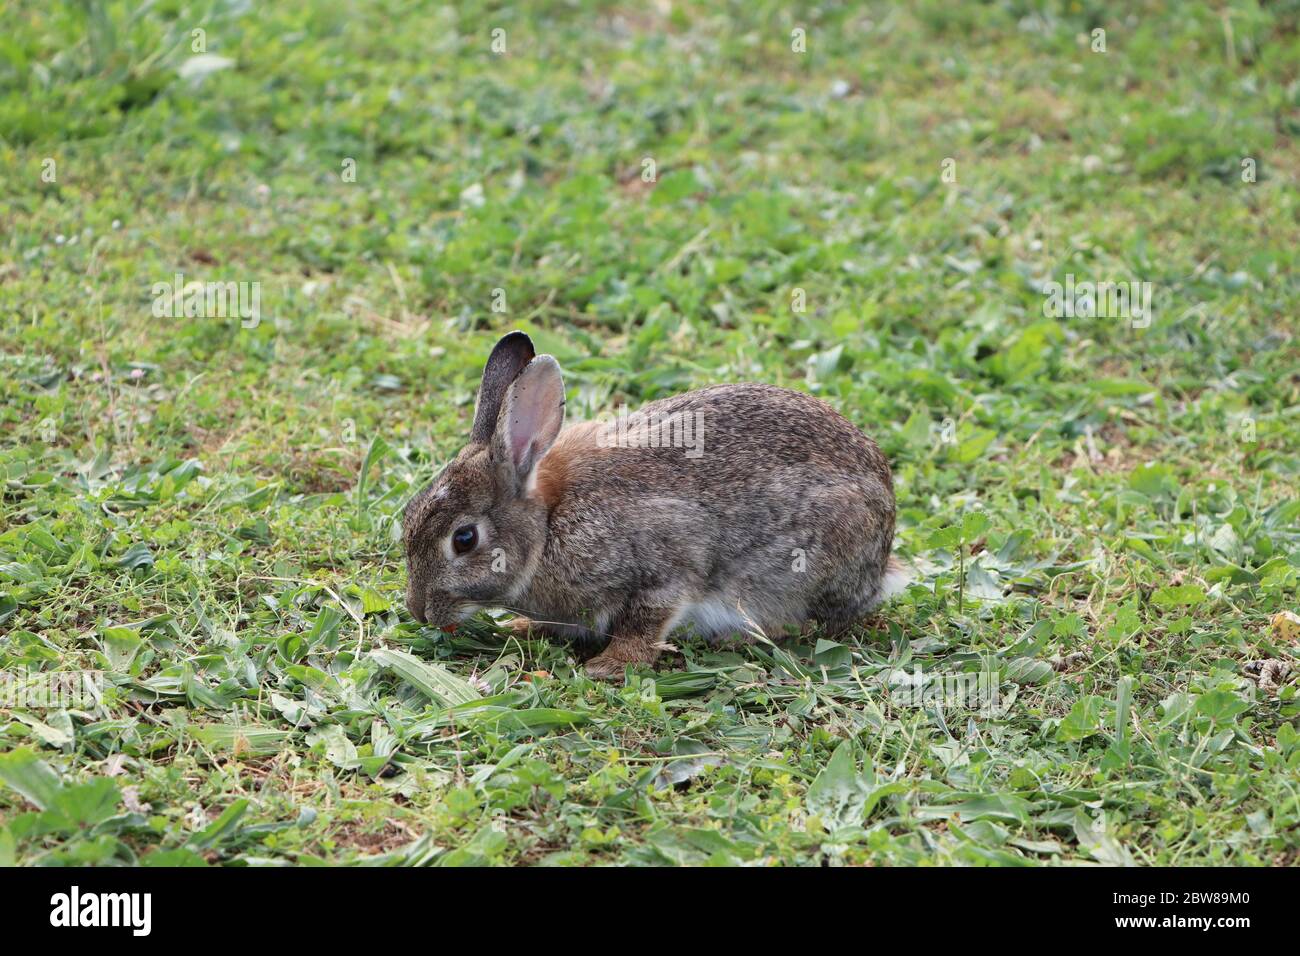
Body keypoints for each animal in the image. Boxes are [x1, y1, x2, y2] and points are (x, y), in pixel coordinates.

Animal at [403, 330, 907, 680]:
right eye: (408, 516)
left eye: (464, 539)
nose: (419, 611)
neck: (547, 524)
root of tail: (882, 561)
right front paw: (522, 629)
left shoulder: (666, 568)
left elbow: (645, 622)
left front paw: (609, 665)